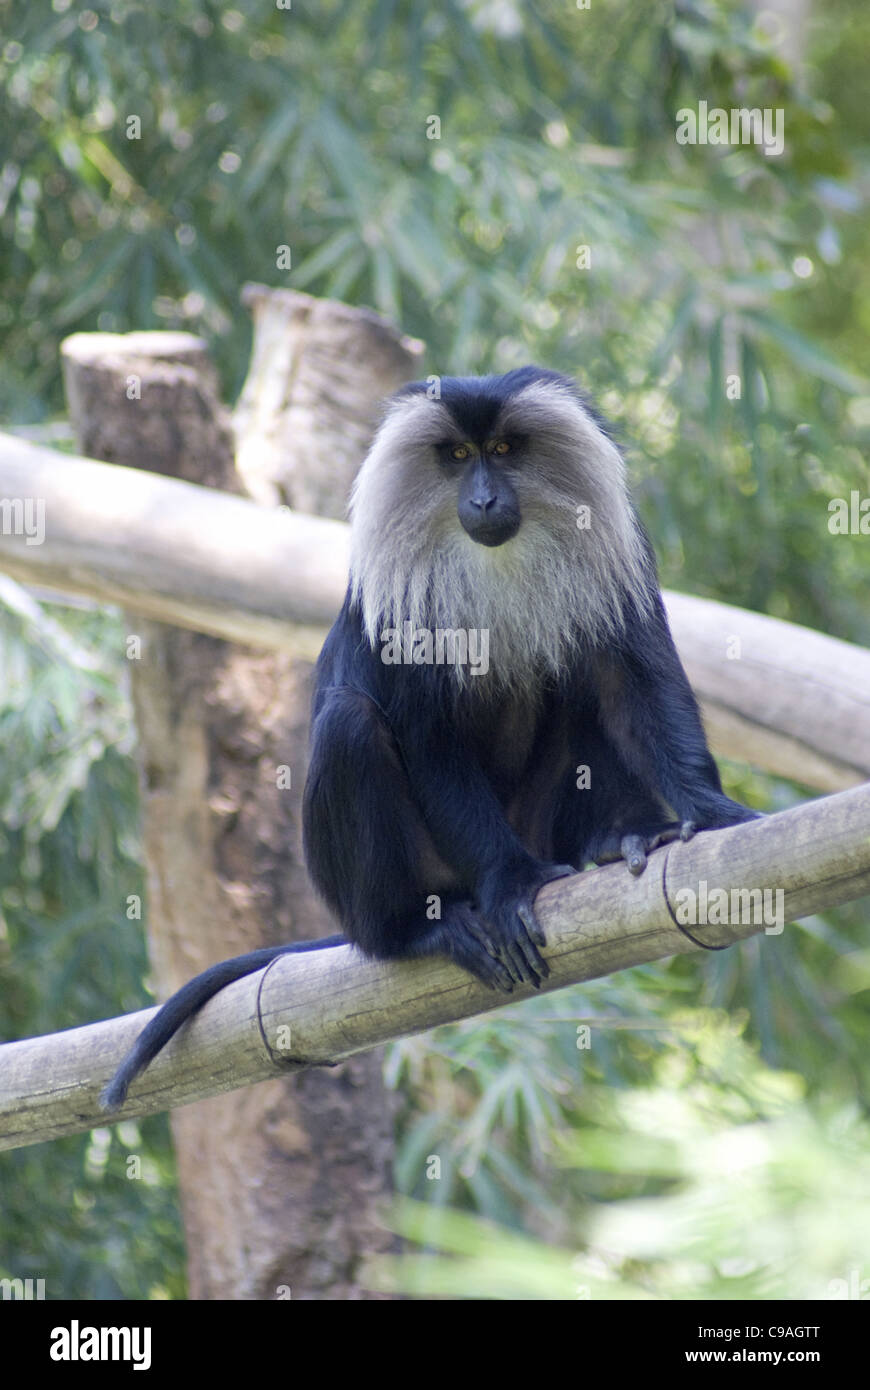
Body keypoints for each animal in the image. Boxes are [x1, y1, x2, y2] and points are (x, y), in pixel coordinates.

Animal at [100, 365, 759, 1110]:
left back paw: (620, 836)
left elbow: (634, 683)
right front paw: (513, 882)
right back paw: (419, 930)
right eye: (456, 456)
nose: (484, 497)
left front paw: (710, 812)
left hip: (541, 822)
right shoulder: (407, 612)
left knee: (579, 688)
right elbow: (425, 740)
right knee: (351, 725)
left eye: (504, 449)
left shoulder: (615, 566)